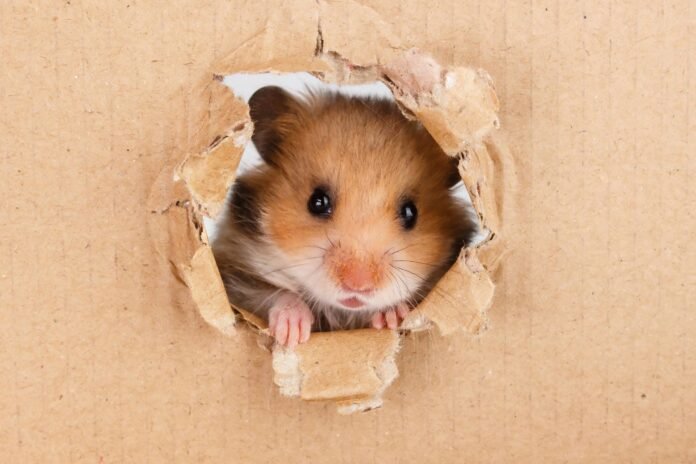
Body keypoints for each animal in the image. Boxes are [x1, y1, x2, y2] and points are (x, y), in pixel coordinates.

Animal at [212, 85, 477, 347]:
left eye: (411, 212)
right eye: (317, 202)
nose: (358, 285)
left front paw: (390, 317)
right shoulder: (235, 275)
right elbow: (274, 294)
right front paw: (293, 331)